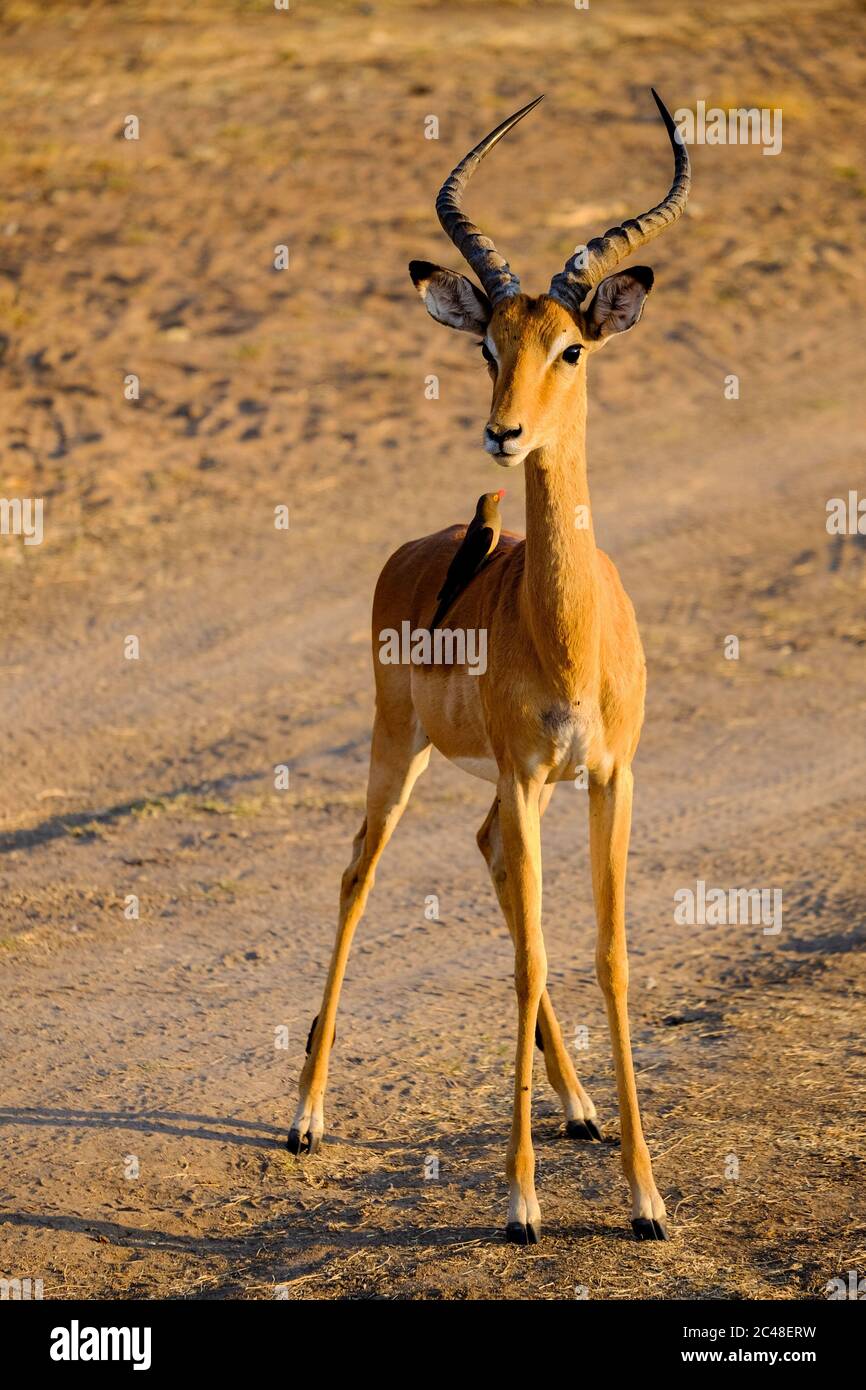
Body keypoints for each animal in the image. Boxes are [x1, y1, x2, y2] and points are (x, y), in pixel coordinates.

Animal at [289, 90, 690, 1244]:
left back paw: (581, 1108)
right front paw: (518, 1202)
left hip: (508, 783)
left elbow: (603, 952)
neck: (567, 630)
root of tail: (420, 546)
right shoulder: (525, 771)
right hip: (400, 750)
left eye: (571, 347)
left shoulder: (605, 775)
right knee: (357, 874)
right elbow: (527, 958)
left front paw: (646, 1198)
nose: (503, 433)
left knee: (487, 862)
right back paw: (306, 1118)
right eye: (488, 346)